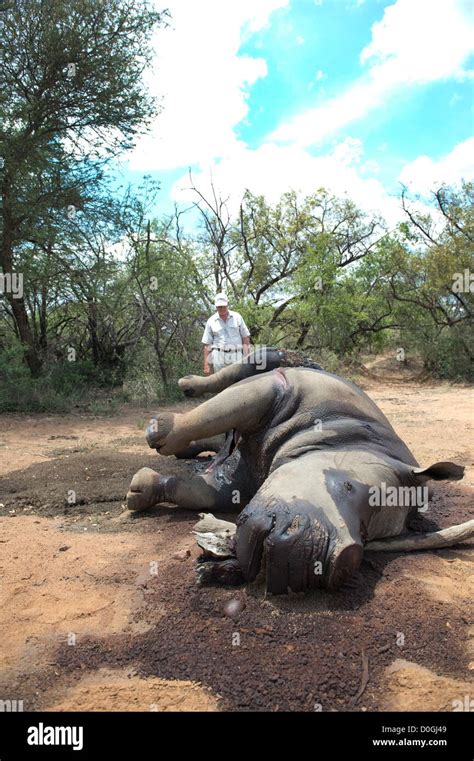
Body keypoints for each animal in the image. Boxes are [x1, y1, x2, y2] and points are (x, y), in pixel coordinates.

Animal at [127, 348, 471, 594]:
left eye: (367, 533)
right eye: (347, 487)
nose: (341, 562)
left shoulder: (242, 479)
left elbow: (202, 493)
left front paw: (141, 490)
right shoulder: (285, 389)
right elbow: (221, 411)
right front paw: (158, 434)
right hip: (293, 371)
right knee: (250, 368)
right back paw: (180, 397)